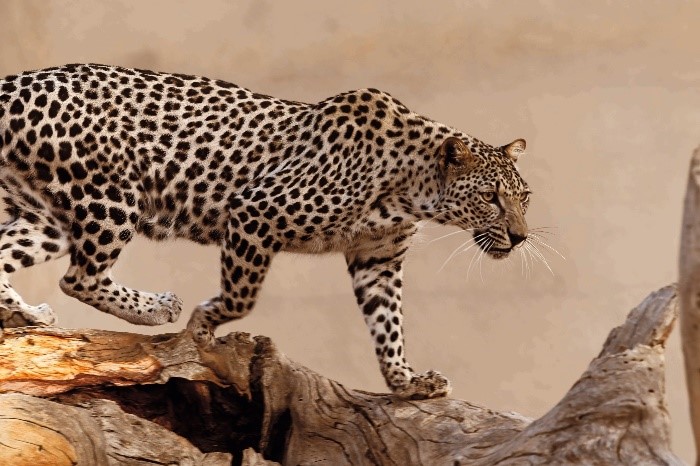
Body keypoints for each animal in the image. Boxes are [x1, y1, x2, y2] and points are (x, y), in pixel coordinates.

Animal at [0, 64, 530, 399]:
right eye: (491, 197)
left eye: (524, 197)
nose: (522, 237)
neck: (413, 187)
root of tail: (15, 81)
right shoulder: (254, 212)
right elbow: (243, 297)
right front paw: (203, 324)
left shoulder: (376, 257)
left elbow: (389, 325)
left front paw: (406, 382)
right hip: (110, 196)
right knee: (79, 278)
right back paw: (154, 308)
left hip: (48, 216)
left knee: (15, 255)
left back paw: (26, 314)